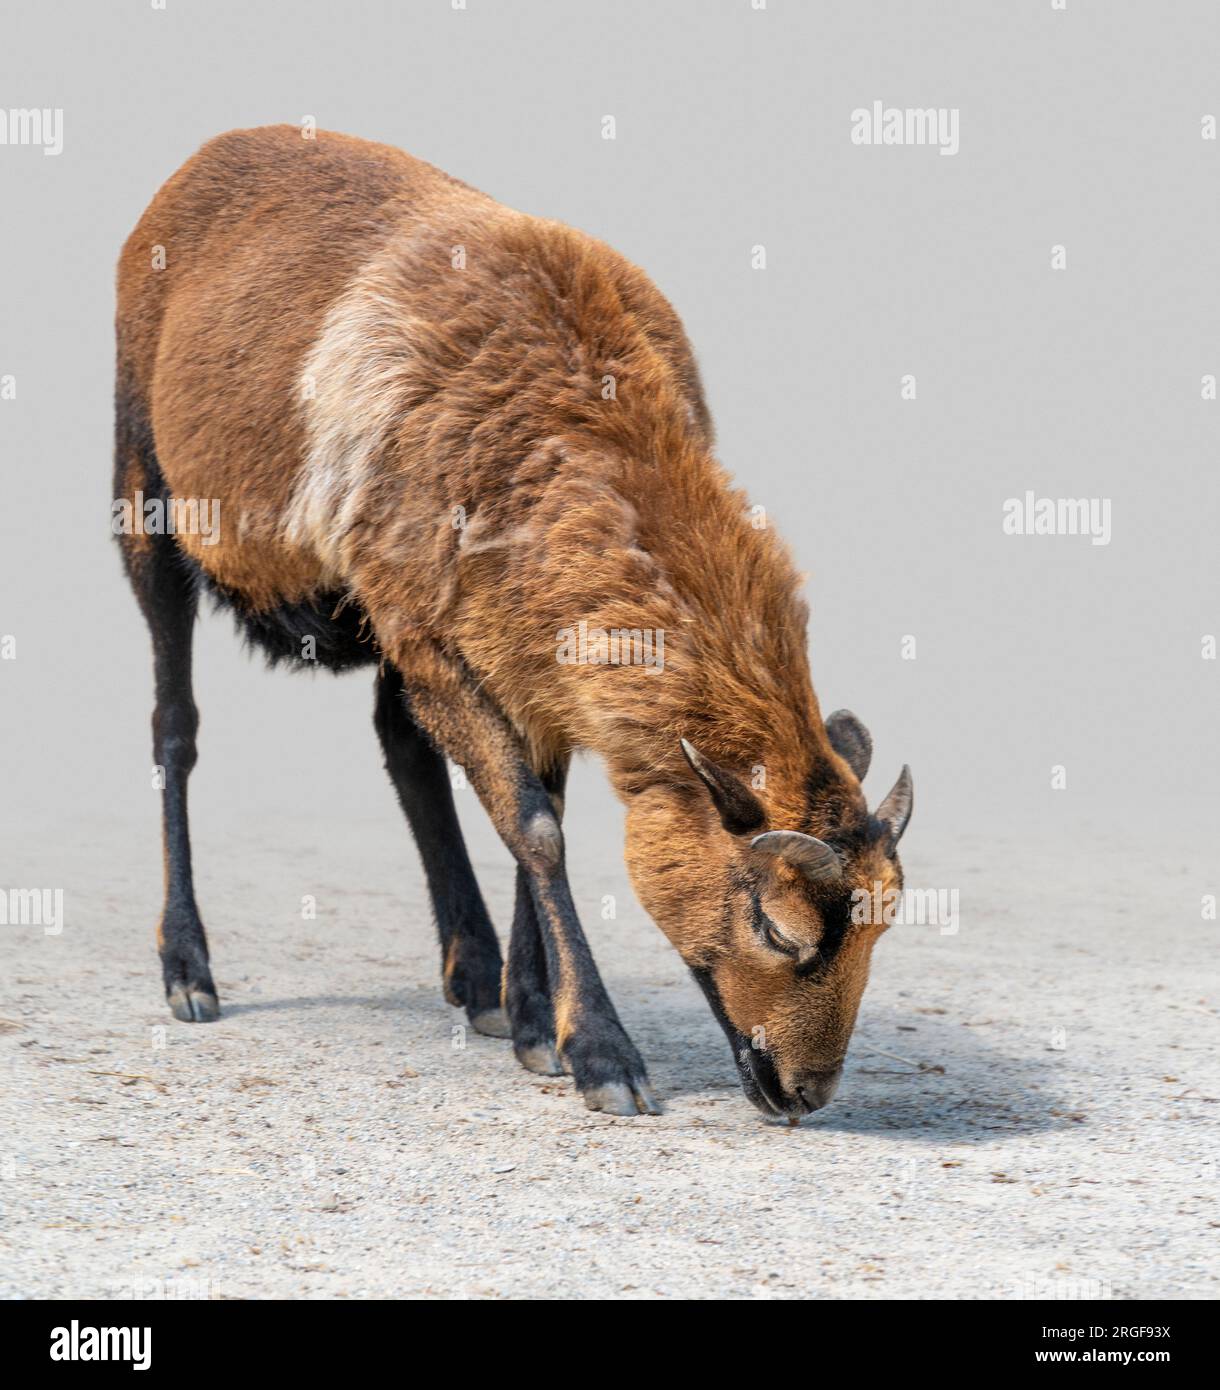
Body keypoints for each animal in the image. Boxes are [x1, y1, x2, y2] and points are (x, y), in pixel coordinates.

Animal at [114, 126, 913, 1119]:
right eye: (775, 923)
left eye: (883, 928)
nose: (805, 1094)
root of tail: (216, 148)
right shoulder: (434, 630)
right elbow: (536, 828)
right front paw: (602, 1055)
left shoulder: (533, 651)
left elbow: (538, 804)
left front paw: (536, 1019)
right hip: (147, 491)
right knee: (174, 726)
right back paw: (189, 971)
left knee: (403, 746)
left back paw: (475, 974)